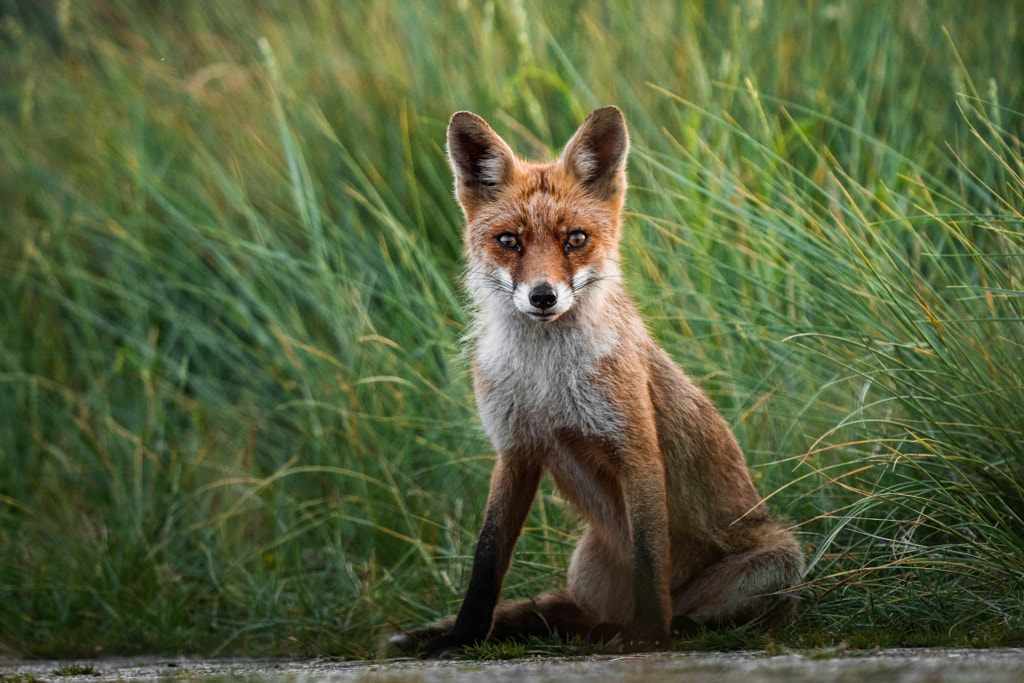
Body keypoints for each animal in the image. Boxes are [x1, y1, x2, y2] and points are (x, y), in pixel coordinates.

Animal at [391, 106, 804, 658]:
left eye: (576, 239)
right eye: (509, 241)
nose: (543, 296)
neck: (547, 384)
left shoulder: (637, 451)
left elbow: (649, 560)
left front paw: (650, 638)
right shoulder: (515, 450)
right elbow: (486, 562)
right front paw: (463, 637)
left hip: (780, 561)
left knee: (715, 611)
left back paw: (669, 627)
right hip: (585, 569)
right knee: (576, 617)